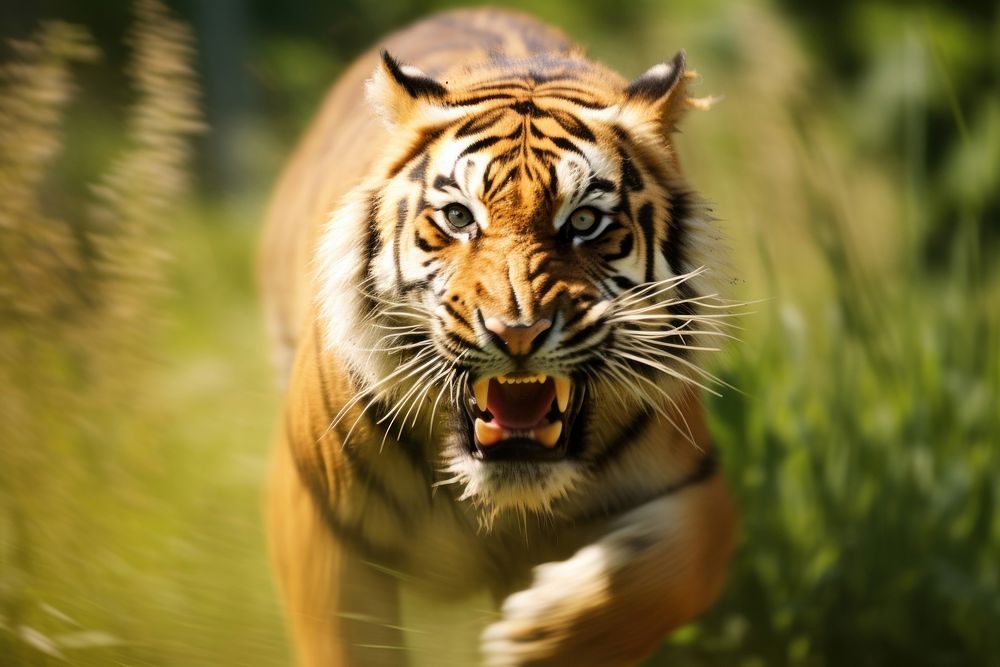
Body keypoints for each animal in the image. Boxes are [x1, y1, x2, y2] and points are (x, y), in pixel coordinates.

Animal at [260, 7, 737, 667]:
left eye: (584, 221)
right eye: (460, 217)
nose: (517, 331)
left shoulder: (691, 481)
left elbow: (683, 571)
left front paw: (539, 639)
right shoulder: (318, 512)